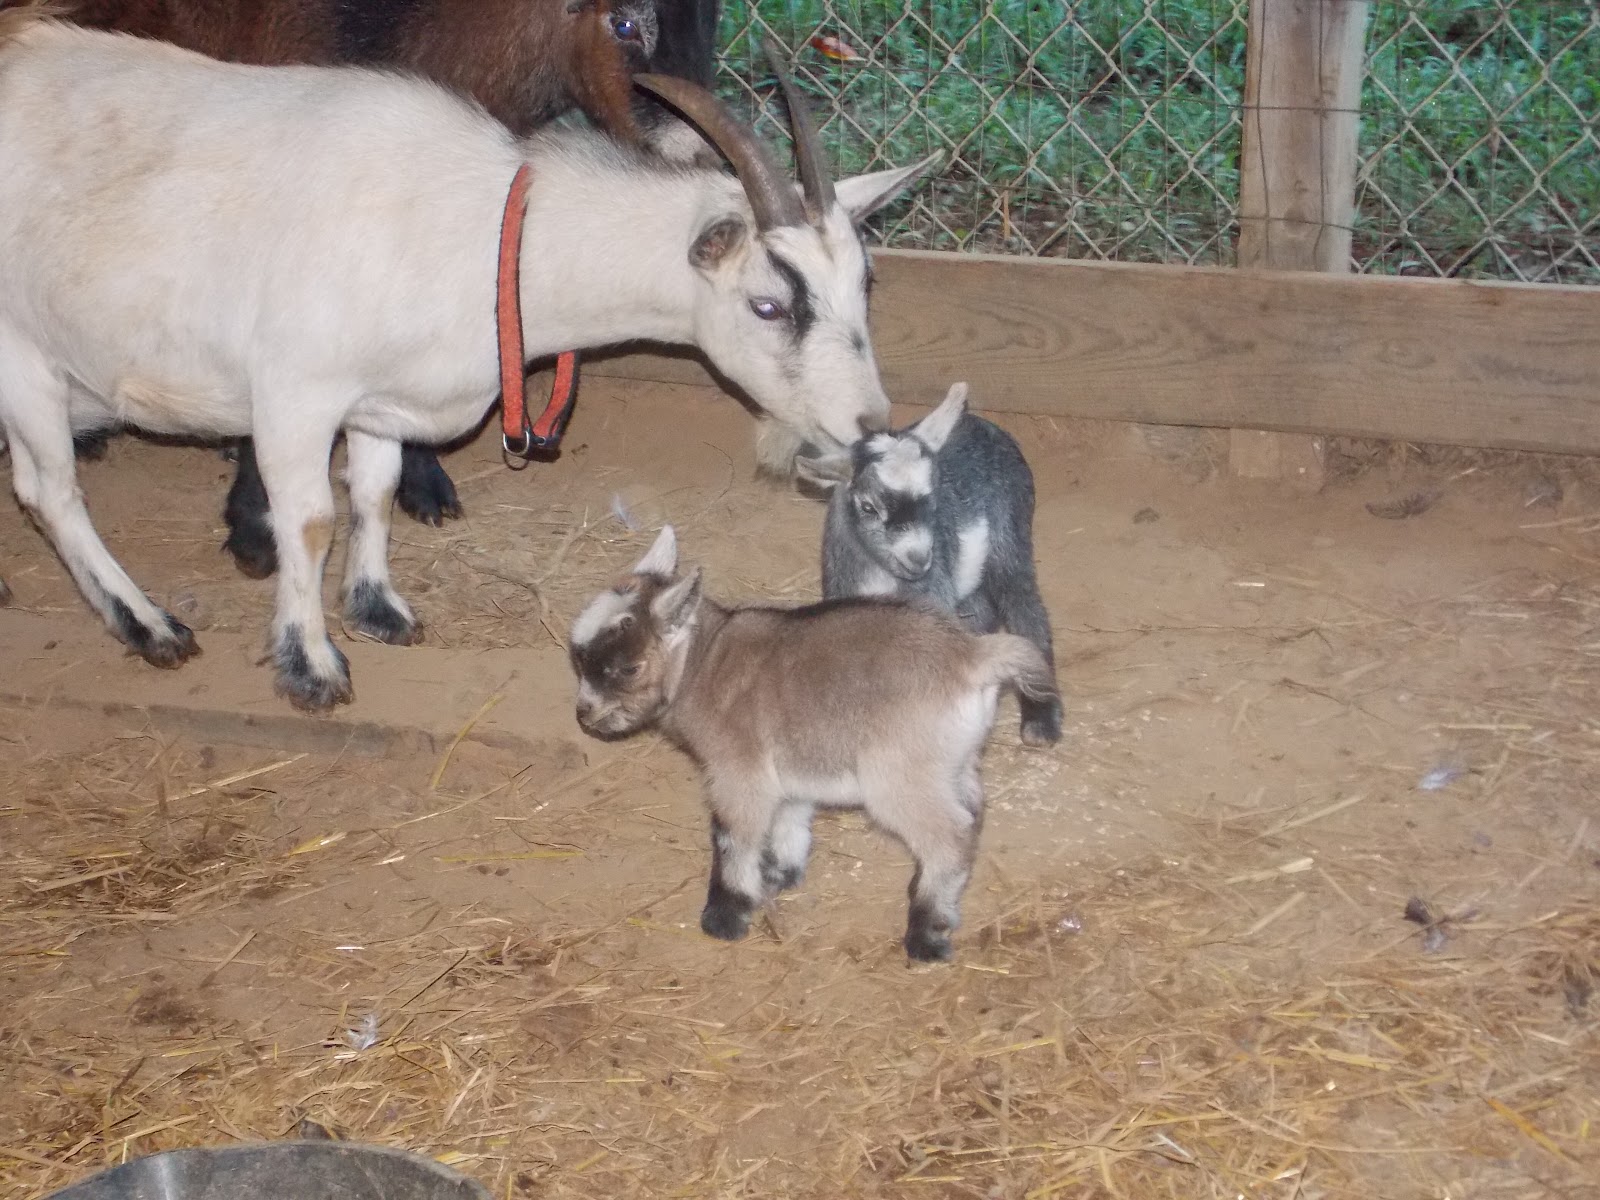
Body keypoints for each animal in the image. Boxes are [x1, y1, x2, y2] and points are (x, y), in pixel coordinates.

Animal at [568, 526, 1059, 961]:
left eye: (627, 668)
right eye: (581, 661)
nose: (585, 714)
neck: (702, 665)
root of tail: (970, 657)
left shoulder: (738, 772)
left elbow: (731, 838)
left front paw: (726, 915)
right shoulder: (785, 768)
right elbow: (790, 821)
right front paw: (778, 876)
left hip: (898, 776)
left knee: (949, 835)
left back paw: (927, 933)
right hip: (954, 763)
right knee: (971, 815)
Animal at [800, 383, 1065, 746]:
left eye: (934, 497)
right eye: (868, 507)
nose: (919, 557)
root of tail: (981, 422)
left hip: (1011, 533)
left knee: (1024, 603)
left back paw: (1041, 719)